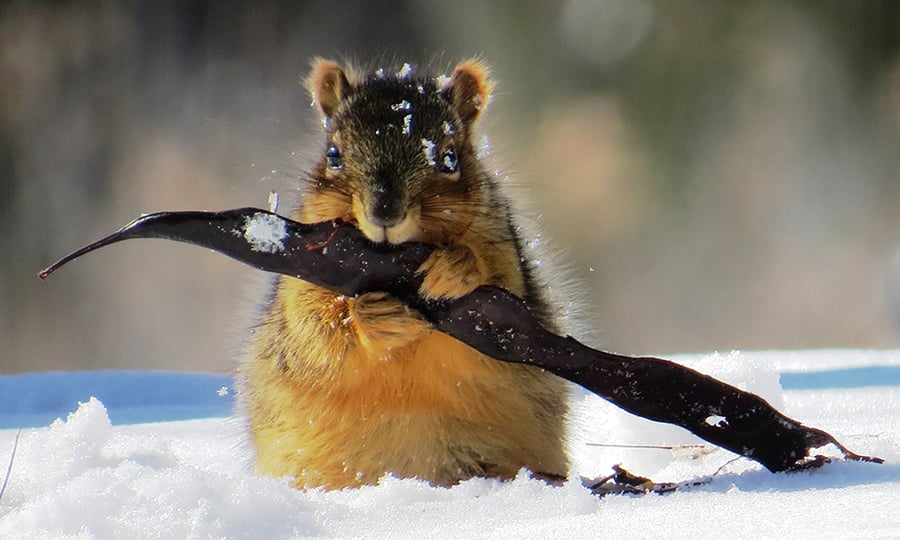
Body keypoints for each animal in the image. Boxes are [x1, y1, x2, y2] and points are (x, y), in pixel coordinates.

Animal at [239, 59, 571, 490]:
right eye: (333, 155)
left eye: (450, 159)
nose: (384, 212)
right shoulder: (298, 283)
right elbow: (314, 332)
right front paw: (377, 317)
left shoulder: (508, 267)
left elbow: (501, 313)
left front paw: (454, 267)